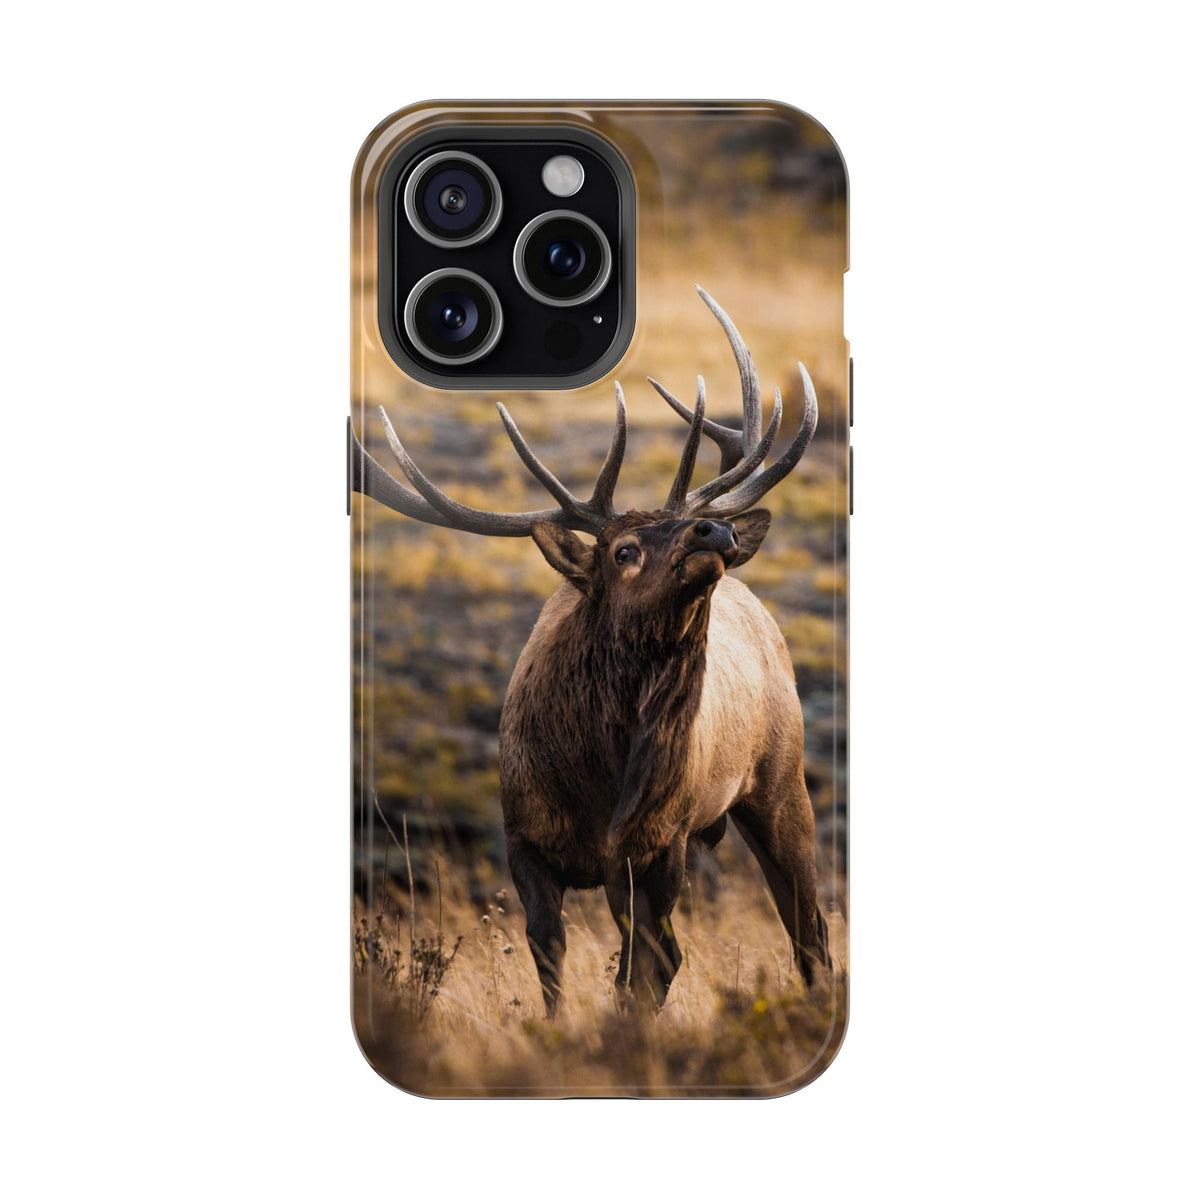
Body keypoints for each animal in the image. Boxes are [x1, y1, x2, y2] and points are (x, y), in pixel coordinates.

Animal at [352, 288, 832, 1014]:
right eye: (623, 551)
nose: (712, 529)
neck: (599, 780)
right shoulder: (523, 838)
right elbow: (549, 958)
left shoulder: (654, 846)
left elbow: (646, 971)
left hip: (779, 781)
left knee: (809, 930)